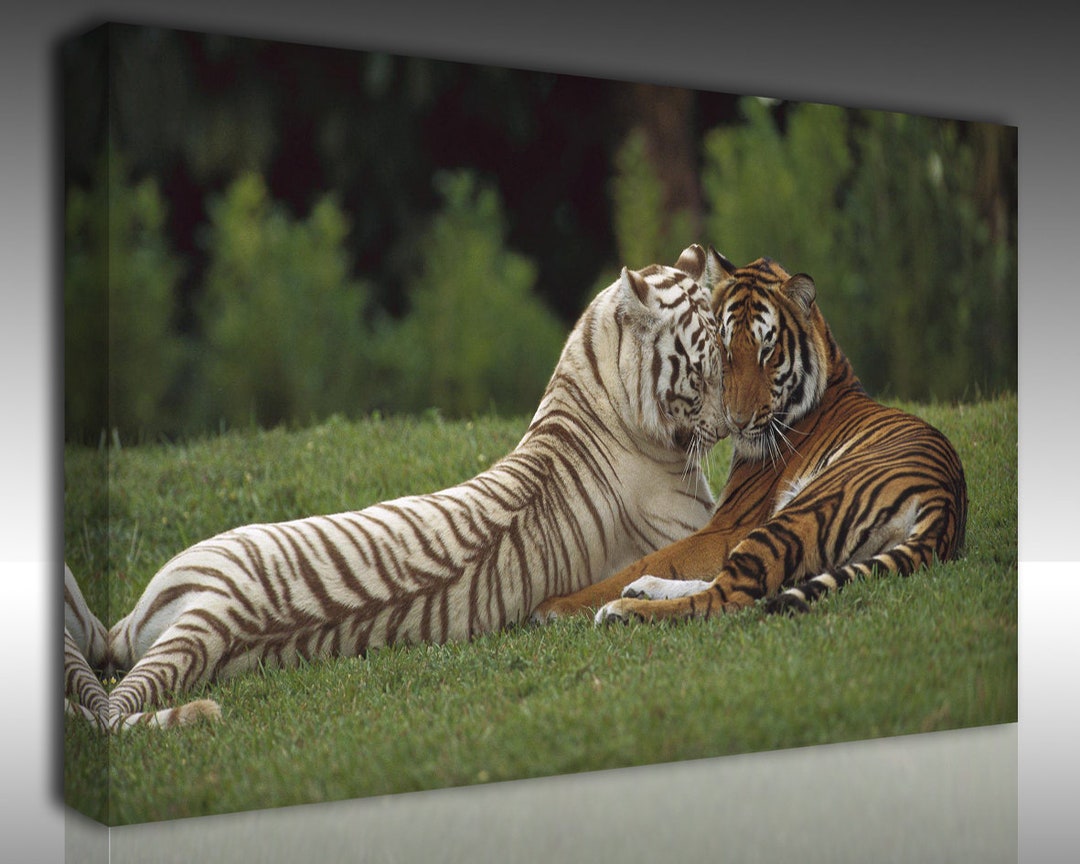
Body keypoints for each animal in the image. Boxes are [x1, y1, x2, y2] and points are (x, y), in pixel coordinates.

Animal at [532, 248, 968, 625]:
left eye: (767, 352)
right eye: (724, 349)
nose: (736, 423)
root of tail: (944, 504)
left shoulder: (729, 526)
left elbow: (652, 557)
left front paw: (555, 606)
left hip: (798, 515)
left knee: (727, 598)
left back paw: (623, 610)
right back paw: (641, 590)